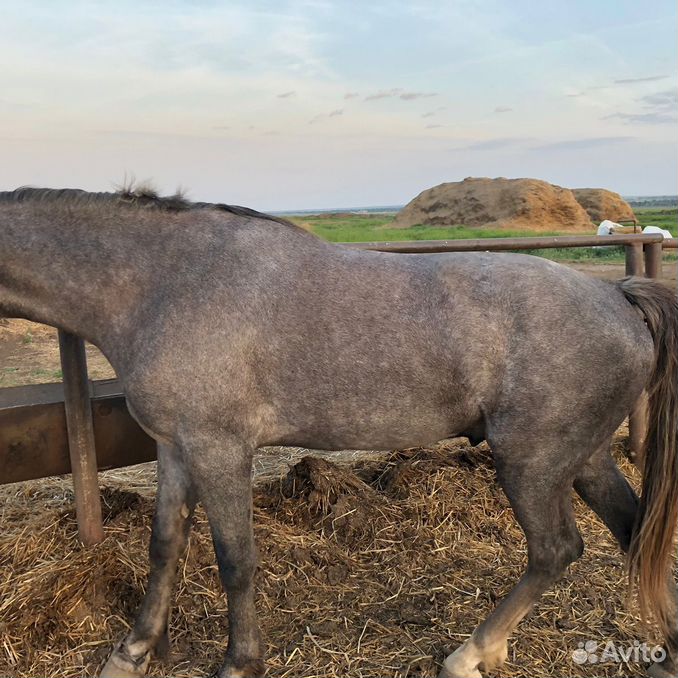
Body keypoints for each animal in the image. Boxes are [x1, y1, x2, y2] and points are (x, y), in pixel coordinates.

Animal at [0, 187, 676, 678]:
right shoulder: (176, 448)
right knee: (634, 532)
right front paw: (133, 651)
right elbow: (164, 547)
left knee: (556, 551)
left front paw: (239, 663)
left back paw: (470, 654)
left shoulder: (219, 450)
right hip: (584, 459)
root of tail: (619, 297)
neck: (167, 282)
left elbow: (235, 559)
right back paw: (663, 654)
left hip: (531, 464)